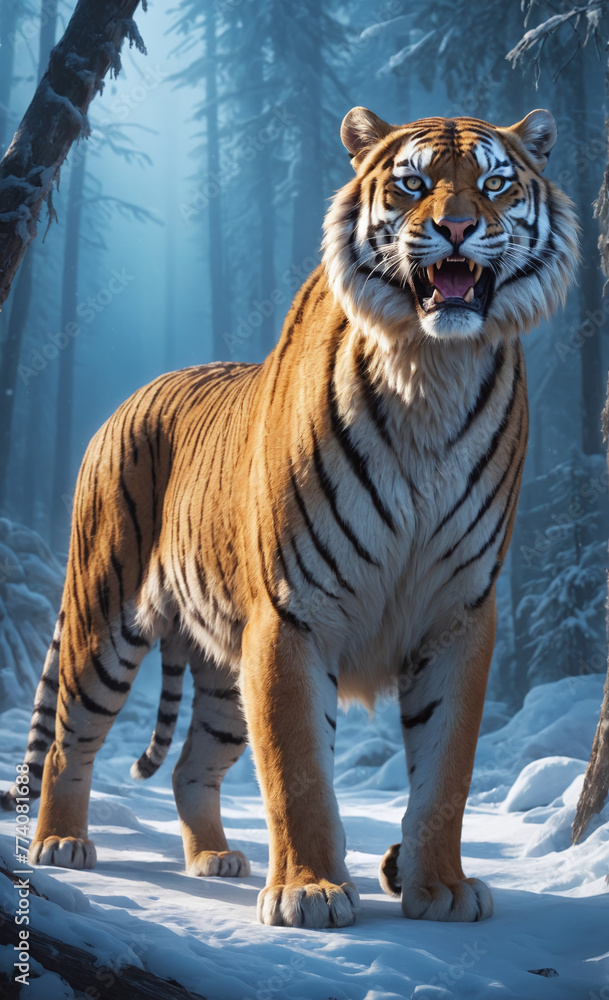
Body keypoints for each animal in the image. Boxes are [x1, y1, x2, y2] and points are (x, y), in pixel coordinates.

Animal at [2, 107, 578, 929]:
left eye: (496, 184)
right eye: (413, 185)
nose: (459, 227)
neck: (429, 371)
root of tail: (122, 404)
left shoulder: (458, 612)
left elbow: (447, 769)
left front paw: (440, 886)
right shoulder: (291, 614)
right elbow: (297, 766)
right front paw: (310, 892)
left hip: (220, 677)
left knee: (190, 766)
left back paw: (215, 857)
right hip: (104, 613)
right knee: (66, 740)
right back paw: (59, 844)